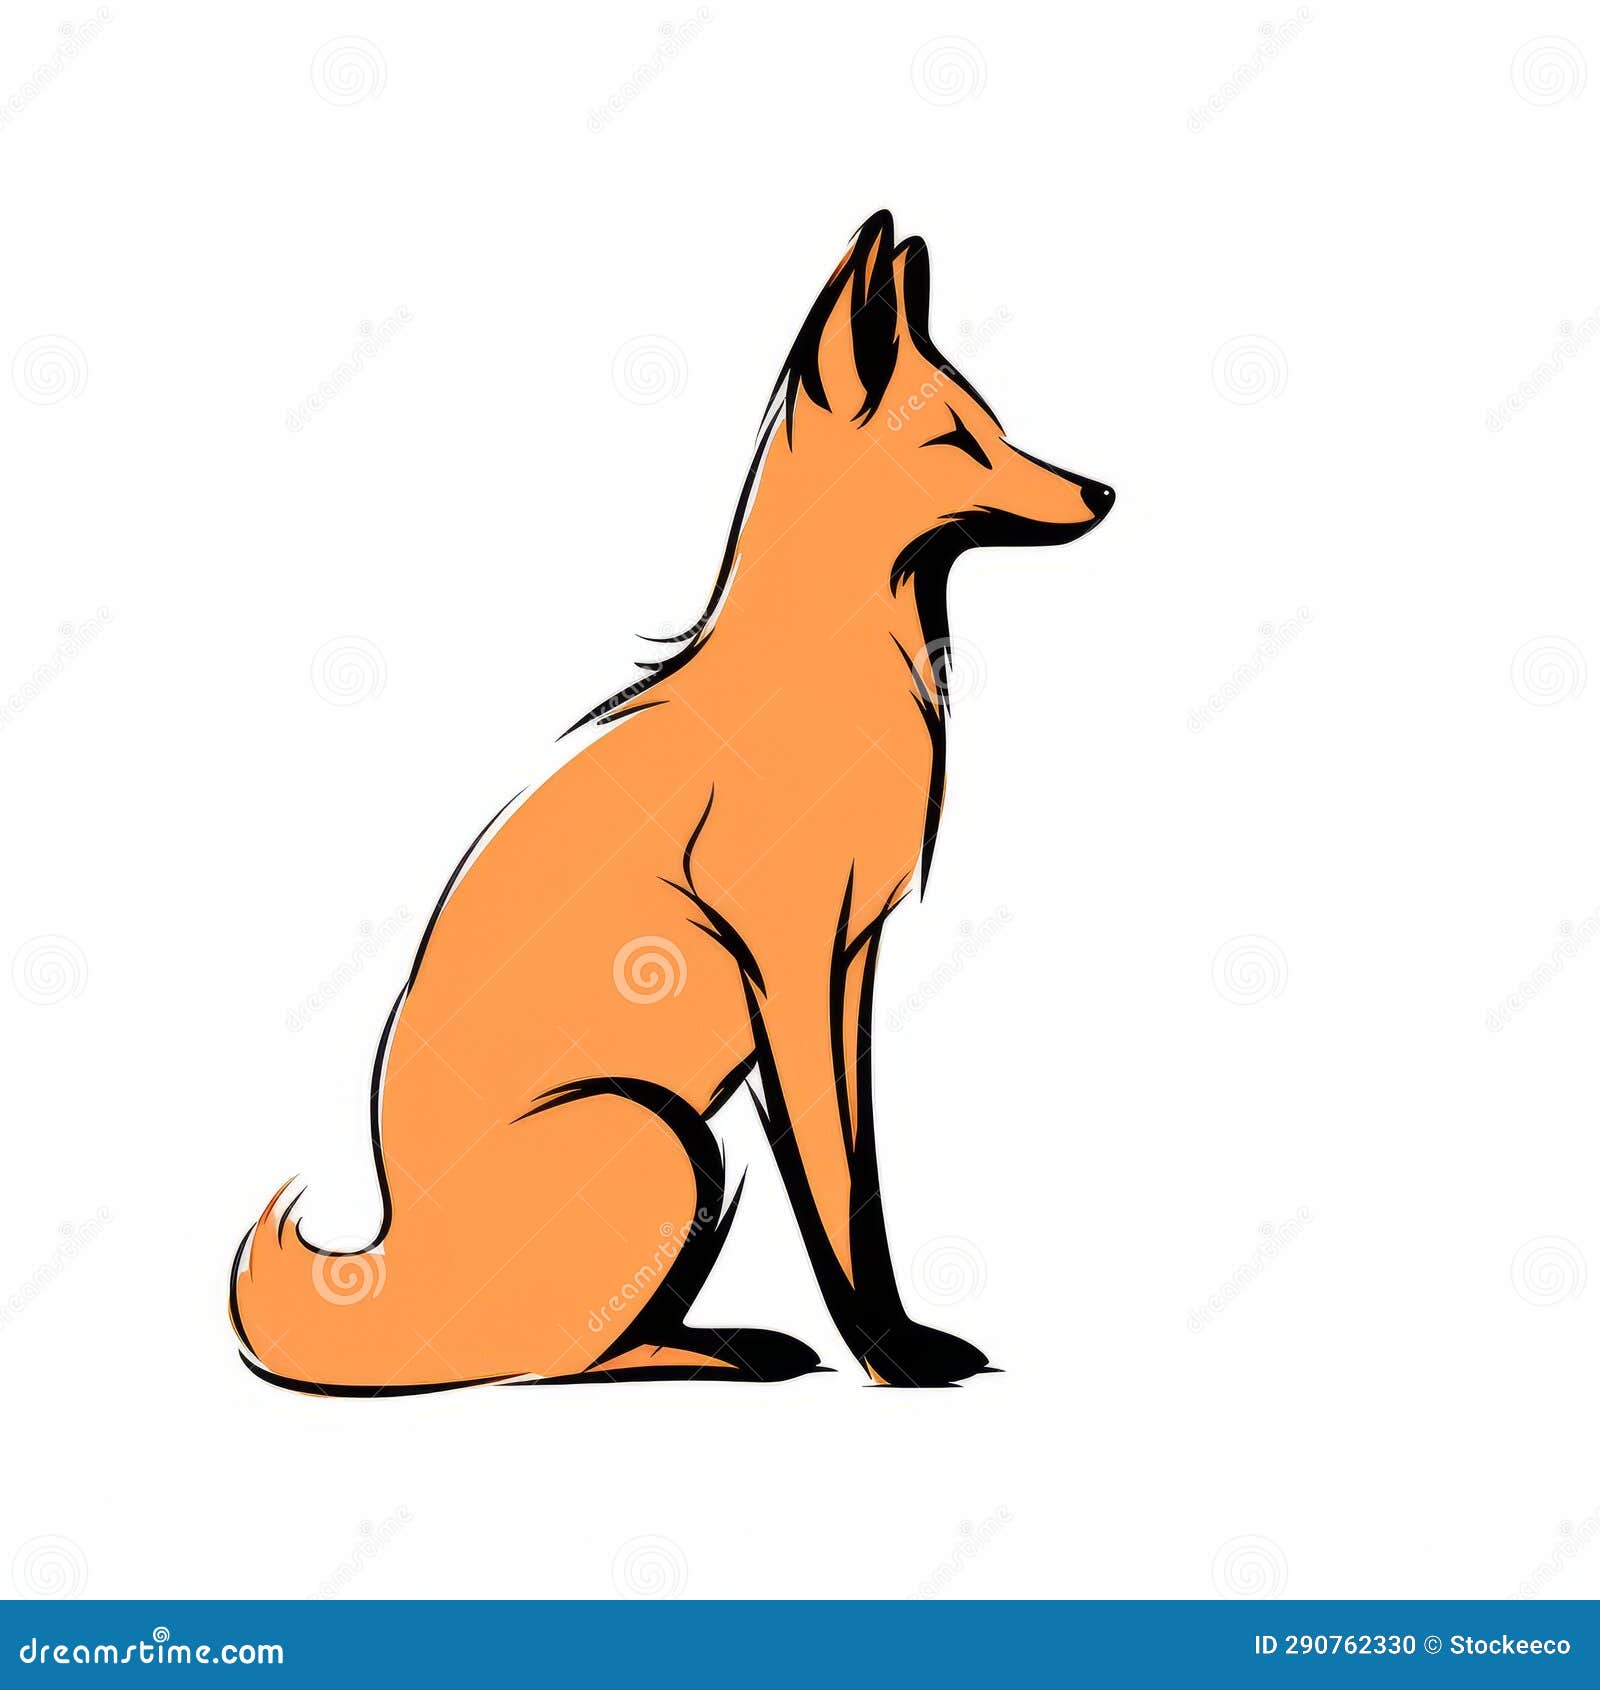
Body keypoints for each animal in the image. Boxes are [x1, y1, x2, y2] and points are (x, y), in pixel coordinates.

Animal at [231, 210, 1115, 1393]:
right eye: (958, 442)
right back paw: (733, 1351)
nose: (1104, 493)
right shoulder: (787, 966)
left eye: (996, 429)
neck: (823, 671)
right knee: (549, 1359)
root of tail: (398, 1287)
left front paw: (897, 1340)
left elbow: (863, 1175)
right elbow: (833, 1191)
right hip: (664, 1132)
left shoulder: (851, 966)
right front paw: (891, 1356)